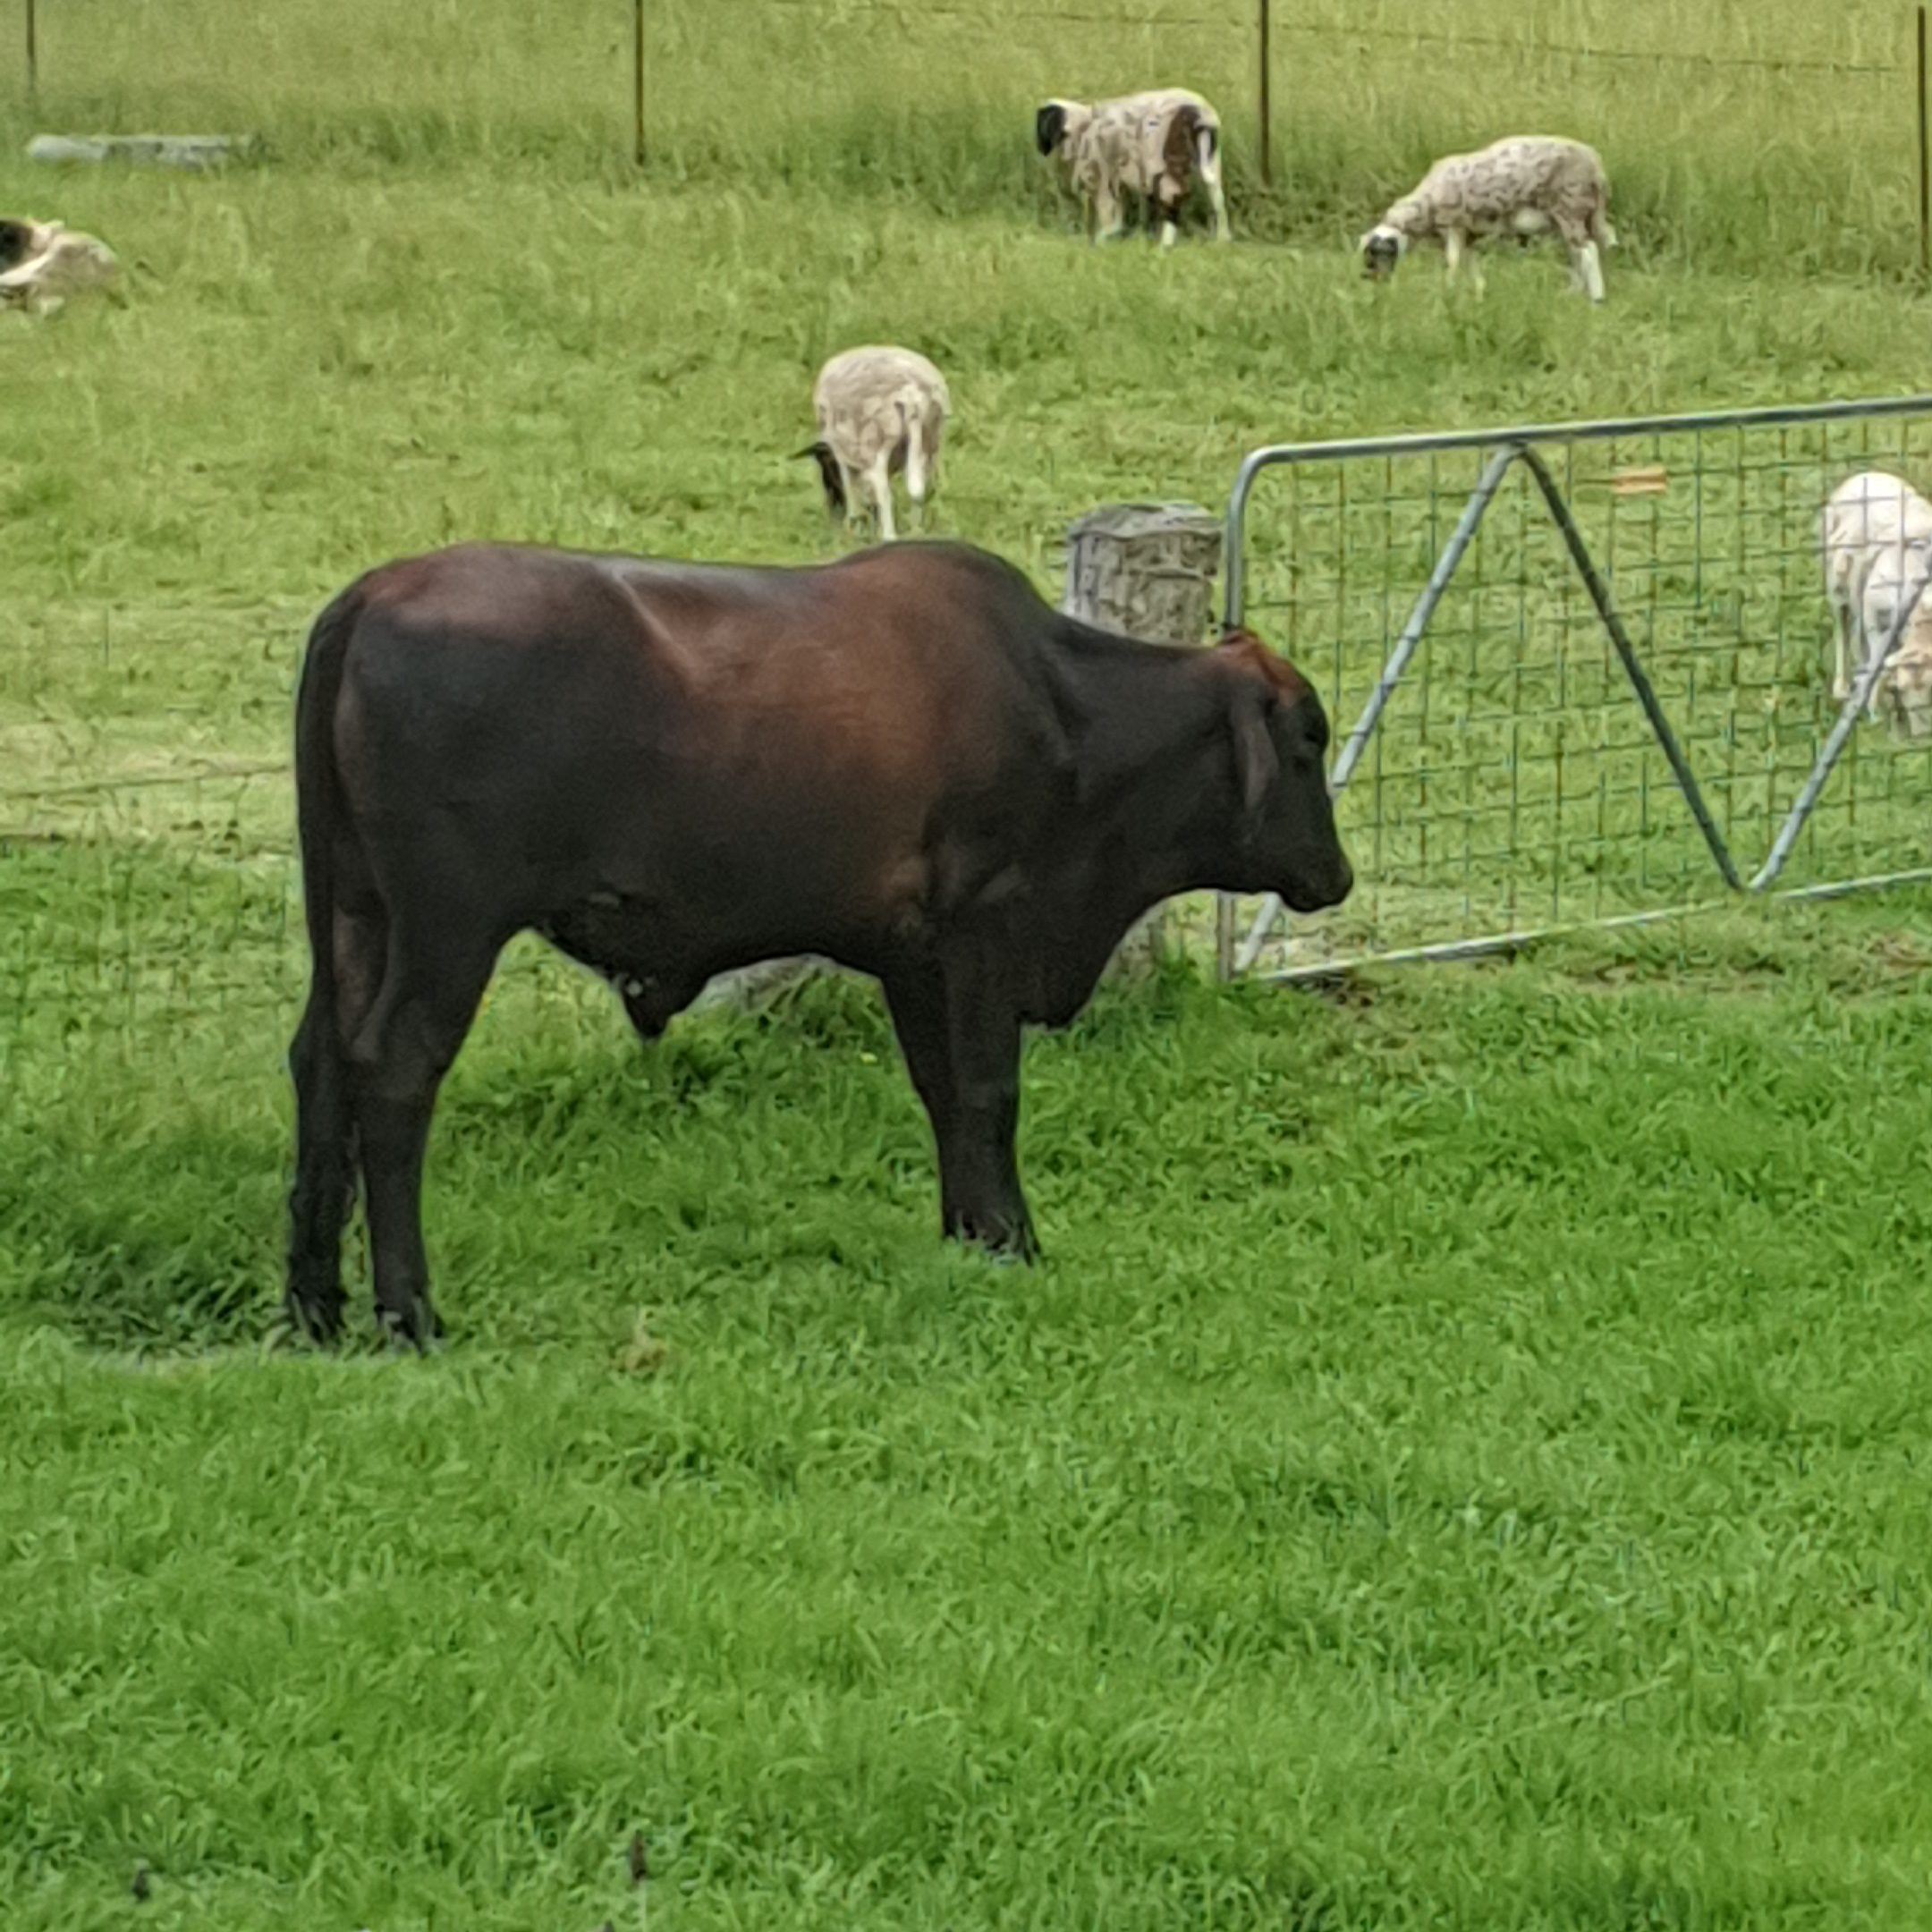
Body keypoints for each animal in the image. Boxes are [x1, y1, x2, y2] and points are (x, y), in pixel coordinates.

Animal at [286, 540, 1353, 1345]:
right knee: (394, 1069)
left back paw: (315, 1305)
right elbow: (988, 1092)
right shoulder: (981, 929)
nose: (1338, 877)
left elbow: (942, 1095)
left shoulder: (914, 954)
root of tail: (374, 594)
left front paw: (969, 1234)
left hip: (354, 915)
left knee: (321, 1061)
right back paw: (410, 1312)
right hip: (447, 928)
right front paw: (1015, 1240)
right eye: (1308, 740)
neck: (1062, 705)